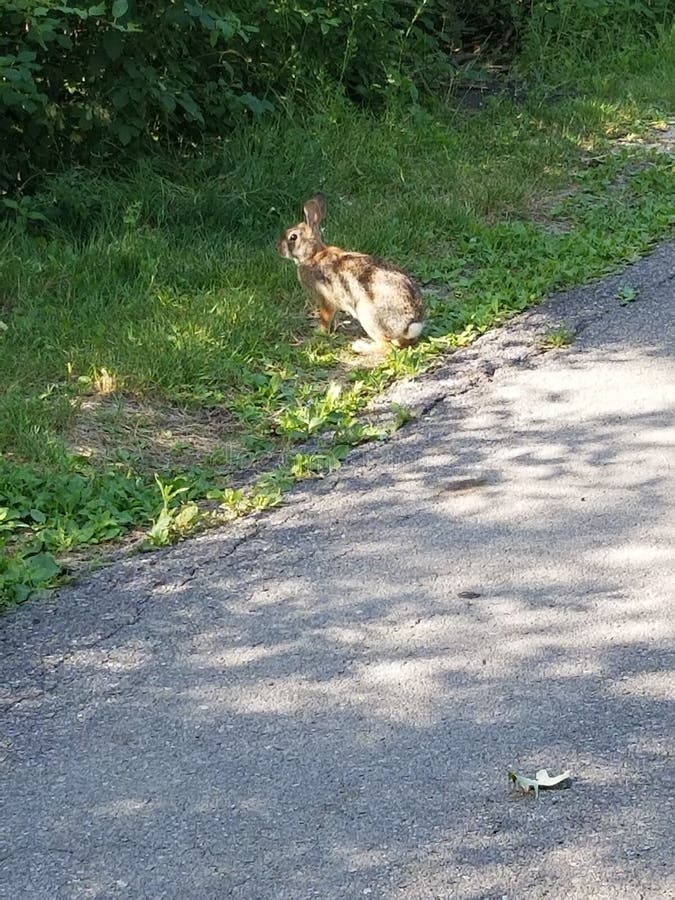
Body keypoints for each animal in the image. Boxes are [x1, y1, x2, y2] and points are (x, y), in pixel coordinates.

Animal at [276, 193, 425, 352]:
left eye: (293, 237)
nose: (277, 248)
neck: (313, 256)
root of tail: (412, 323)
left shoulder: (326, 300)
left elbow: (325, 317)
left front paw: (319, 332)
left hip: (368, 316)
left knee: (386, 347)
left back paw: (360, 346)